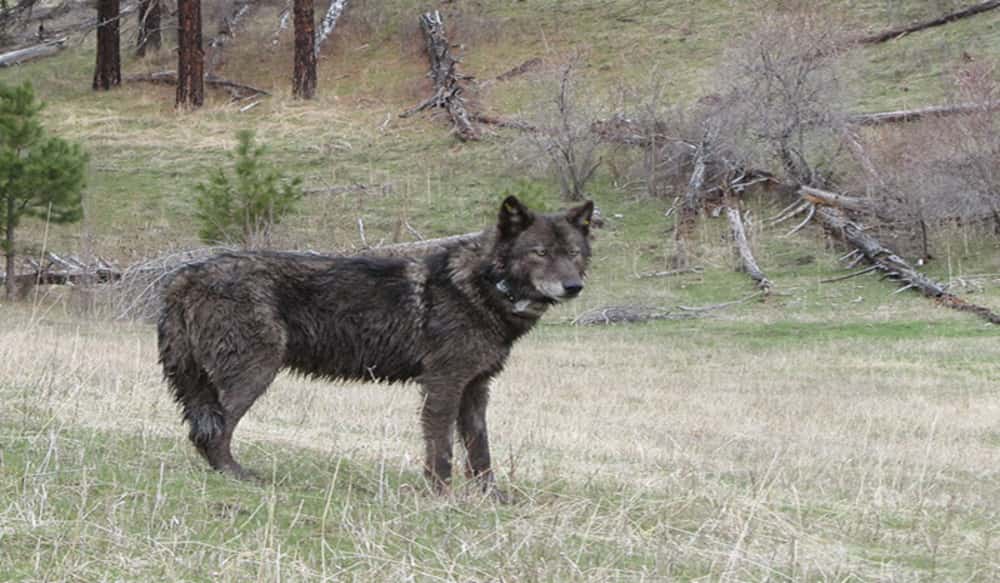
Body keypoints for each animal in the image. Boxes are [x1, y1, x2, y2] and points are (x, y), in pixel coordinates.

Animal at [157, 196, 594, 498]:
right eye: (540, 253)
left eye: (573, 253)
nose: (574, 287)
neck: (484, 286)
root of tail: (186, 276)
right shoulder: (443, 384)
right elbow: (441, 449)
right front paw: (440, 496)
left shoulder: (476, 388)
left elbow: (480, 451)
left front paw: (492, 499)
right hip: (254, 376)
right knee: (212, 433)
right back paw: (238, 476)